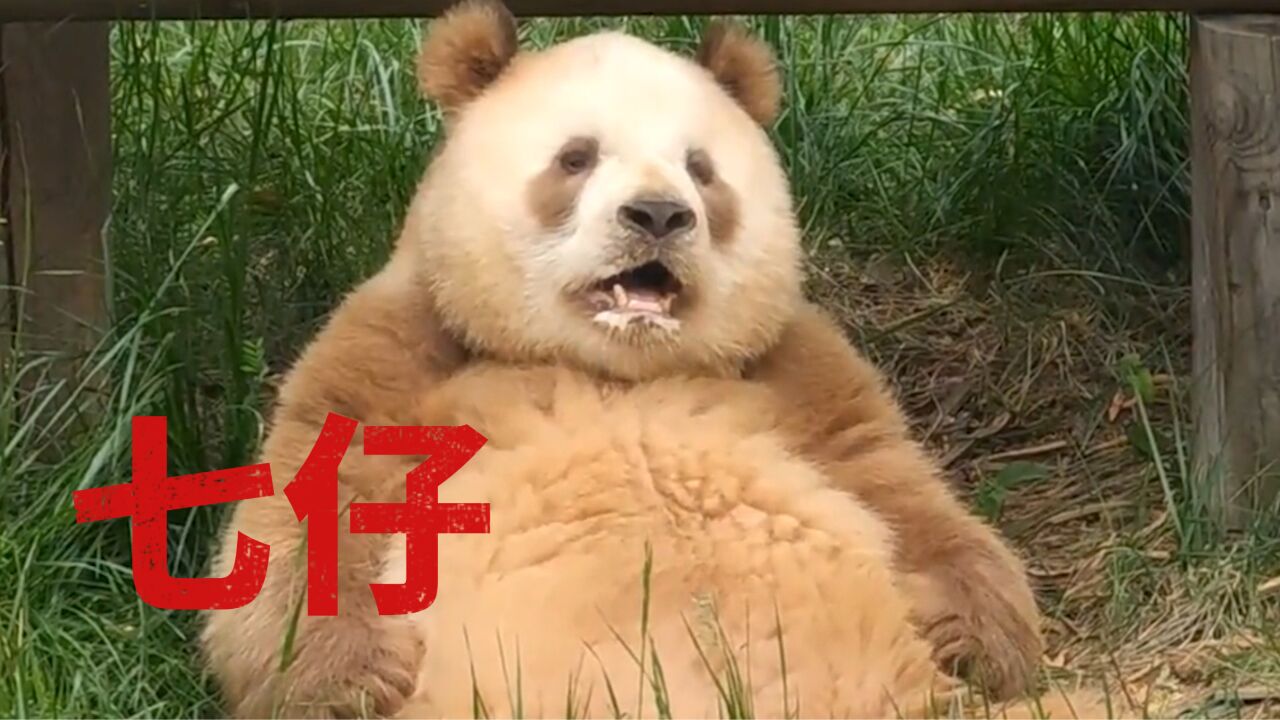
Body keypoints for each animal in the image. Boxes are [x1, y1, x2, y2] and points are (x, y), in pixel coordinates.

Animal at [198, 3, 1052, 717]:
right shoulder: (398, 354)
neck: (615, 368)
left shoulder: (801, 374)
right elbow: (310, 511)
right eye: (576, 157)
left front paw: (972, 642)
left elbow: (904, 494)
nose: (659, 215)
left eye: (701, 168)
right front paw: (350, 684)